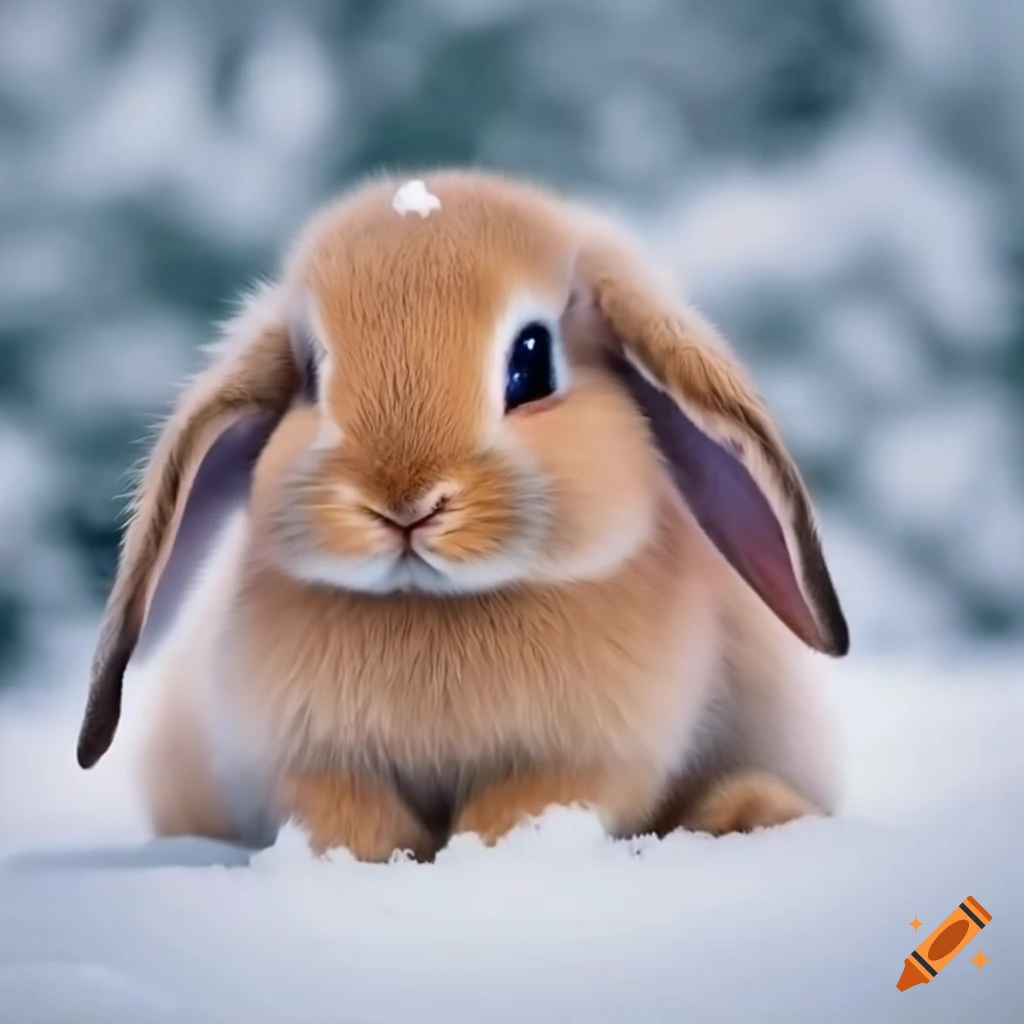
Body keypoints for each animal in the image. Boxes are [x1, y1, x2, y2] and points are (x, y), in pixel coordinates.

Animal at [76, 168, 849, 861]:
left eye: (532, 360)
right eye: (312, 373)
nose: (403, 503)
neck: (434, 608)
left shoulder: (588, 759)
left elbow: (517, 811)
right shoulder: (307, 760)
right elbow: (347, 815)